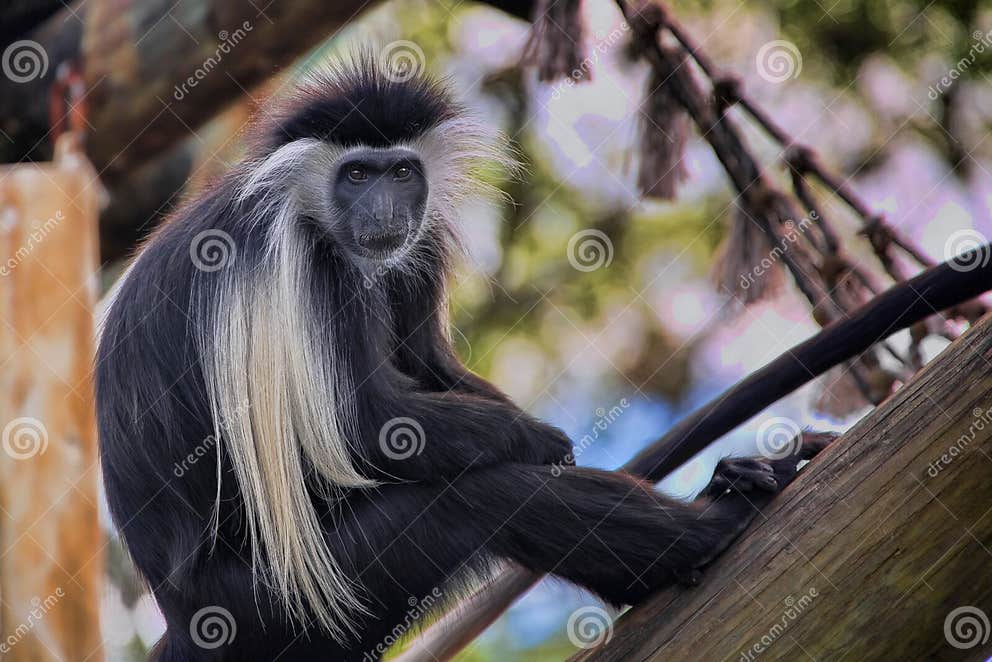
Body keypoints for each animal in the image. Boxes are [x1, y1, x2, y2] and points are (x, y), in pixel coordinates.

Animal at [95, 53, 827, 661]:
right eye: (355, 174)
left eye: (401, 172)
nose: (384, 210)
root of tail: (181, 610)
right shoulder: (304, 264)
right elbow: (368, 427)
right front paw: (538, 439)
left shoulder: (417, 248)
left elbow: (428, 369)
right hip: (283, 600)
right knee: (480, 500)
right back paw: (710, 527)